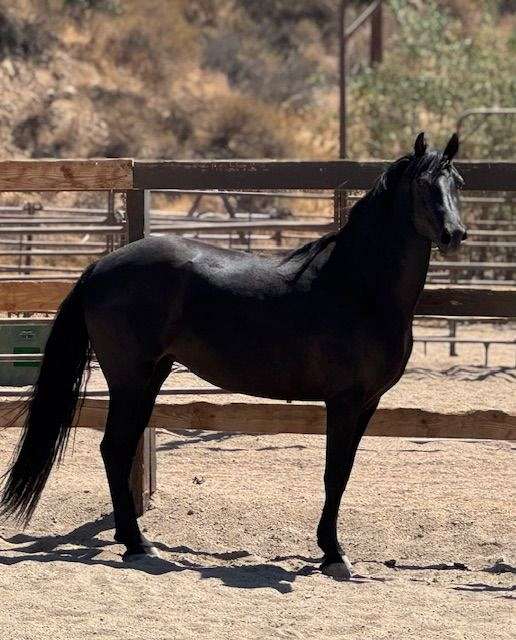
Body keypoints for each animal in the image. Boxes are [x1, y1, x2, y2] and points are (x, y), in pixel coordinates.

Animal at [1, 132, 467, 579]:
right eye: (423, 185)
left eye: (457, 183)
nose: (455, 234)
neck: (358, 287)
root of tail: (100, 267)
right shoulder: (344, 401)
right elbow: (334, 473)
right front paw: (334, 555)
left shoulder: (368, 403)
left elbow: (345, 471)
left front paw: (331, 549)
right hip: (130, 379)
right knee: (114, 449)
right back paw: (136, 545)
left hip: (150, 378)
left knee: (120, 448)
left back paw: (134, 539)